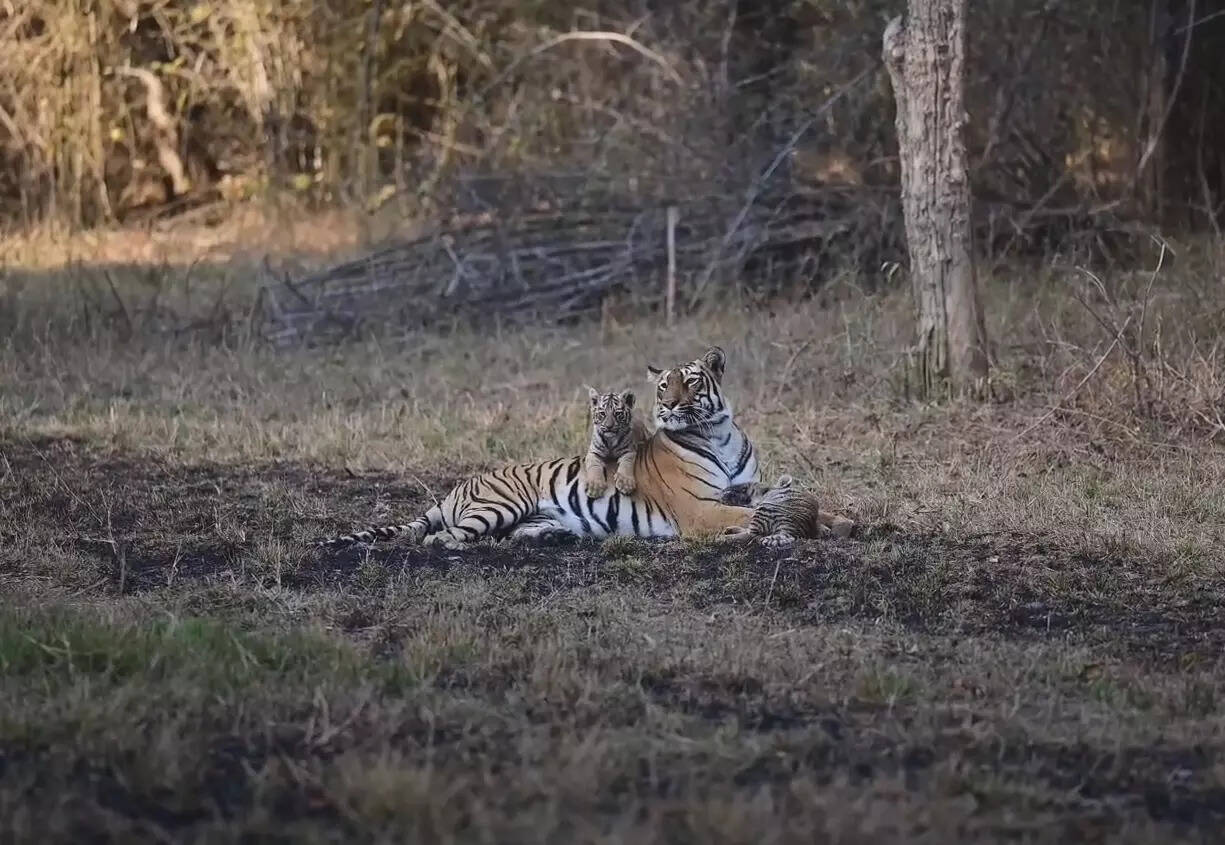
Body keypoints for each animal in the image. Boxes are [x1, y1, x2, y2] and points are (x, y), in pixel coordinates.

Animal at [319, 346, 759, 550]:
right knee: (439, 537)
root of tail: (458, 487)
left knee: (510, 535)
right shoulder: (698, 509)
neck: (717, 434)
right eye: (664, 385)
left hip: (526, 517)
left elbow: (756, 502)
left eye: (691, 381)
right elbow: (746, 513)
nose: (666, 406)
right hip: (498, 506)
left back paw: (555, 538)